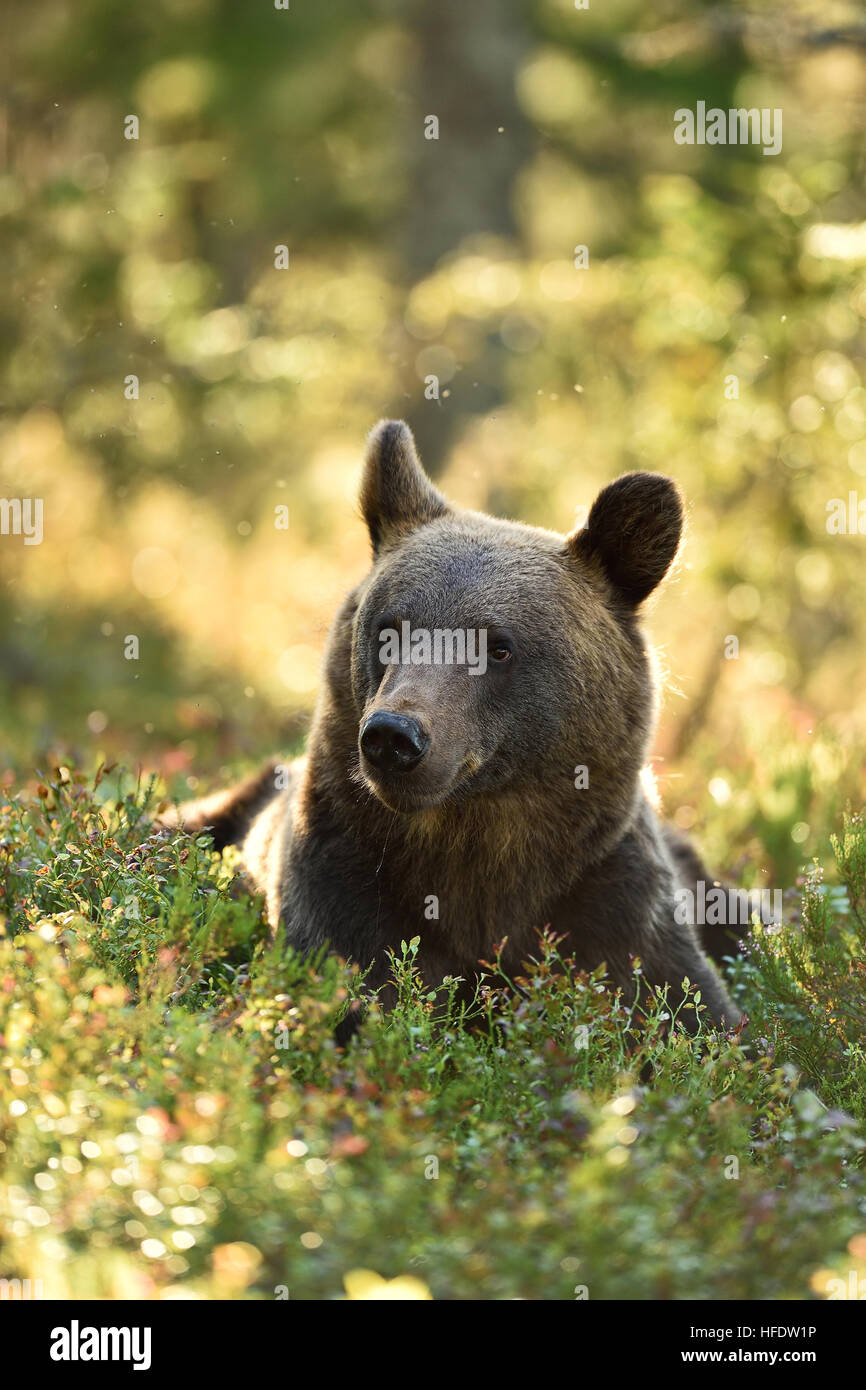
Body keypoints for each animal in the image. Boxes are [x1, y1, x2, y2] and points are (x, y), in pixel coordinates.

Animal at [163, 419, 741, 1034]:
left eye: (498, 646)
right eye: (389, 630)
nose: (393, 737)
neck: (470, 841)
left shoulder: (612, 898)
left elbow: (688, 1004)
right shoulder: (342, 878)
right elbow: (350, 983)